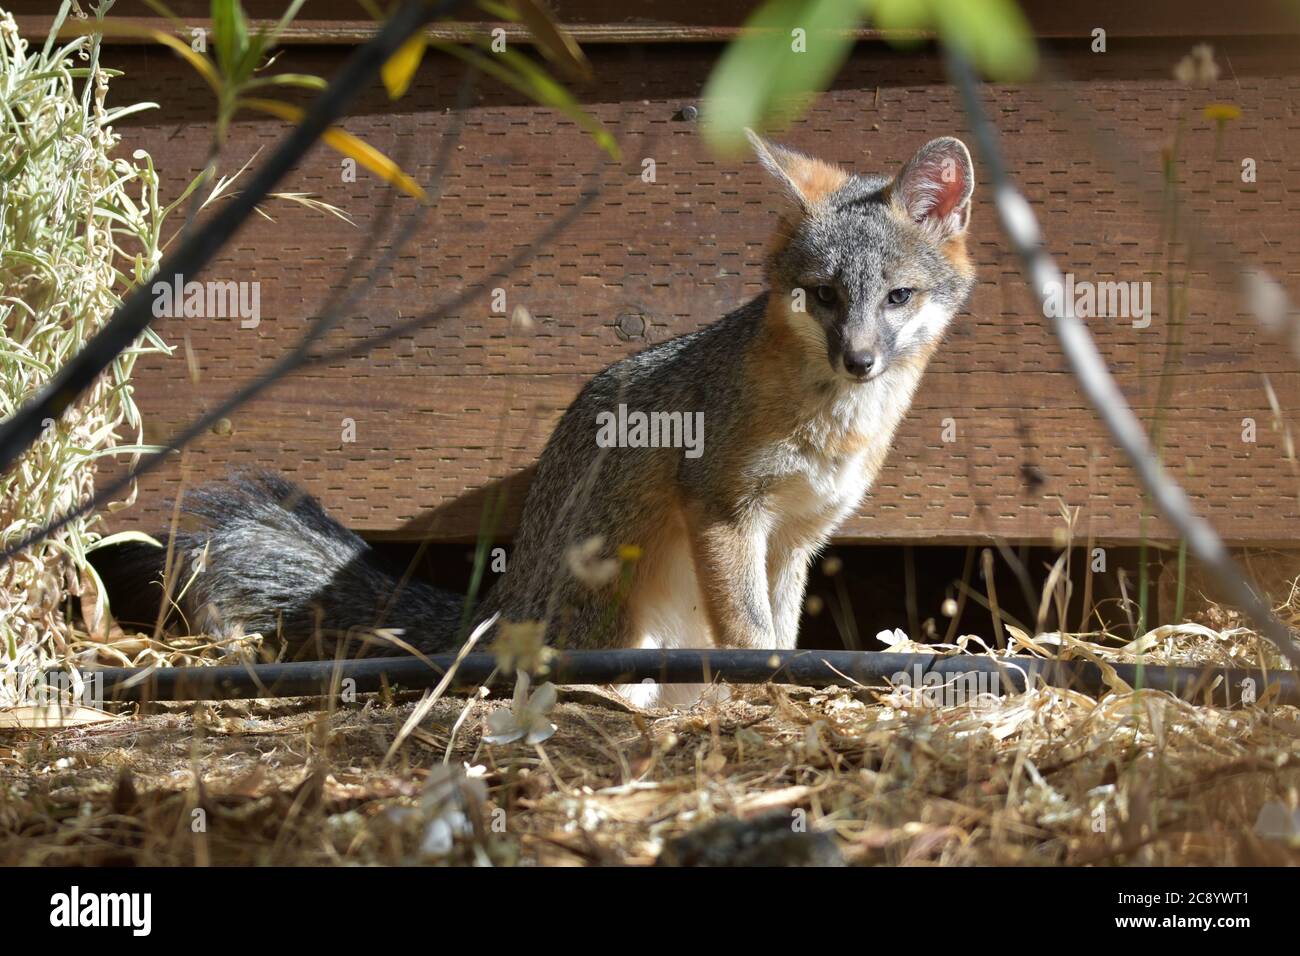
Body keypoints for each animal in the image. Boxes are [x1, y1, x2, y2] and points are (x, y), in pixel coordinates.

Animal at [134, 133, 977, 708]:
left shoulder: (798, 537)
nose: (859, 360)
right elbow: (751, 635)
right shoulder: (722, 508)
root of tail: (501, 608)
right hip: (614, 584)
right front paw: (762, 692)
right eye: (824, 295)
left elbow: (782, 634)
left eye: (896, 298)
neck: (834, 424)